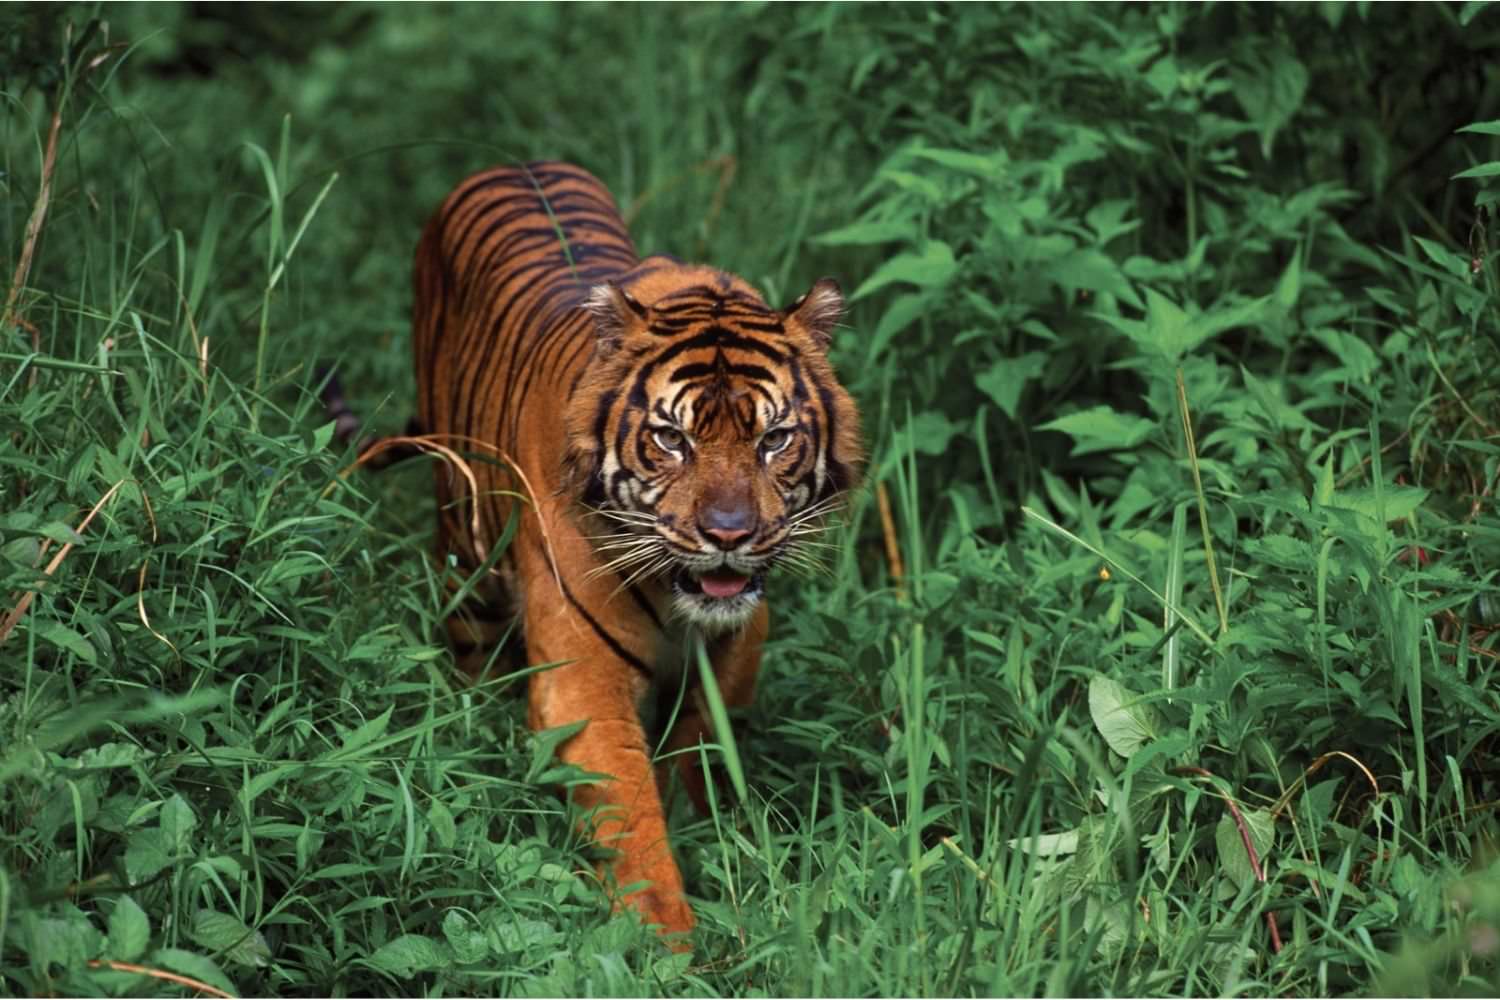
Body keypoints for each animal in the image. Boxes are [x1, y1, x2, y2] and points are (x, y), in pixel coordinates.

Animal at [410, 161, 862, 946]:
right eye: (671, 439)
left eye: (774, 438)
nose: (729, 534)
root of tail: (511, 162)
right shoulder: (581, 677)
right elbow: (629, 815)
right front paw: (667, 944)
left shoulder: (739, 644)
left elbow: (696, 754)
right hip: (463, 550)